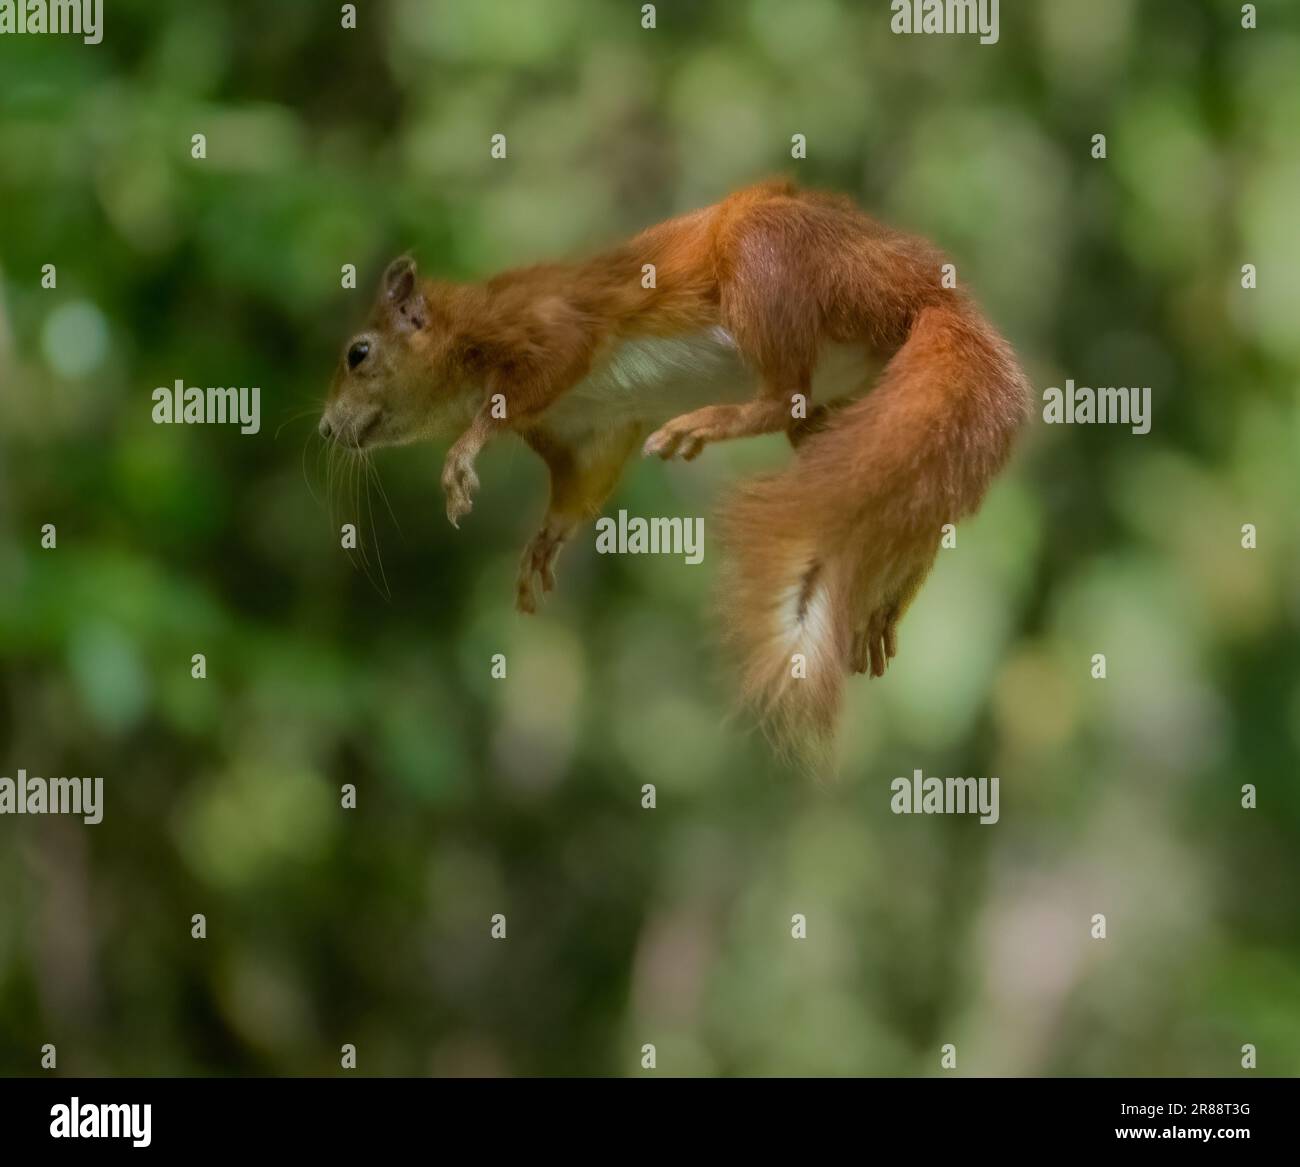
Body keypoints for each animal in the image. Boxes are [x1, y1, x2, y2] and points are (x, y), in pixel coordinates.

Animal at [319, 179, 1031, 766]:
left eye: (359, 354)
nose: (325, 429)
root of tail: (926, 290)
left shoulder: (546, 327)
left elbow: (539, 372)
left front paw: (462, 454)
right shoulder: (587, 429)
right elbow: (583, 482)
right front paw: (546, 539)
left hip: (778, 256)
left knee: (783, 395)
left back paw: (713, 420)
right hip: (853, 406)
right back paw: (896, 592)